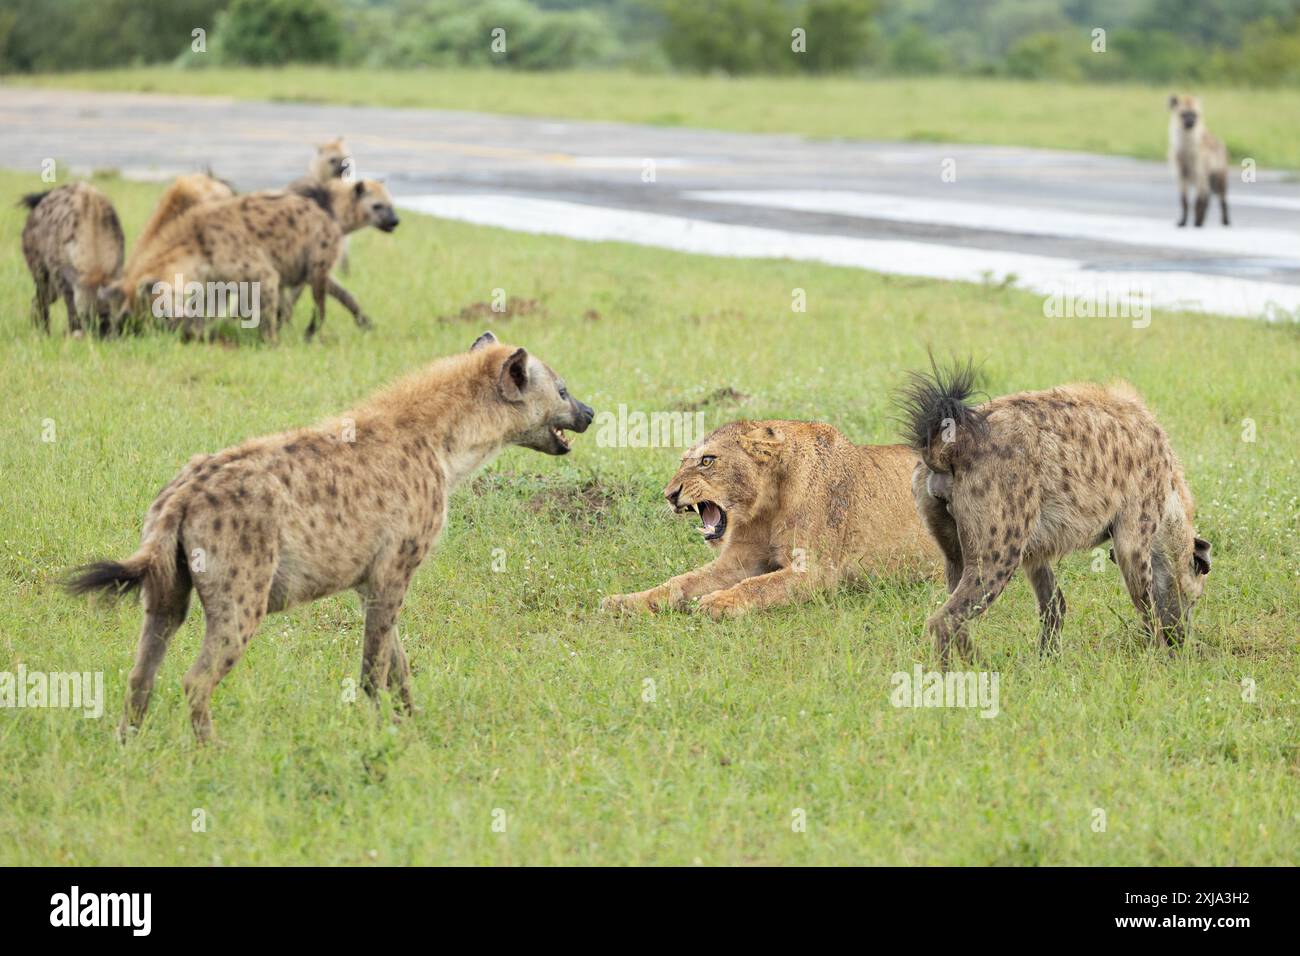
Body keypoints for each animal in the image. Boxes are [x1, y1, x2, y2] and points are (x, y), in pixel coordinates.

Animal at [601, 420, 942, 620]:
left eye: (708, 460)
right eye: (684, 461)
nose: (669, 495)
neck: (767, 504)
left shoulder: (814, 571)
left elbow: (758, 586)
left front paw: (718, 602)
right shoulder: (736, 562)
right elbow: (679, 582)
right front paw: (623, 601)